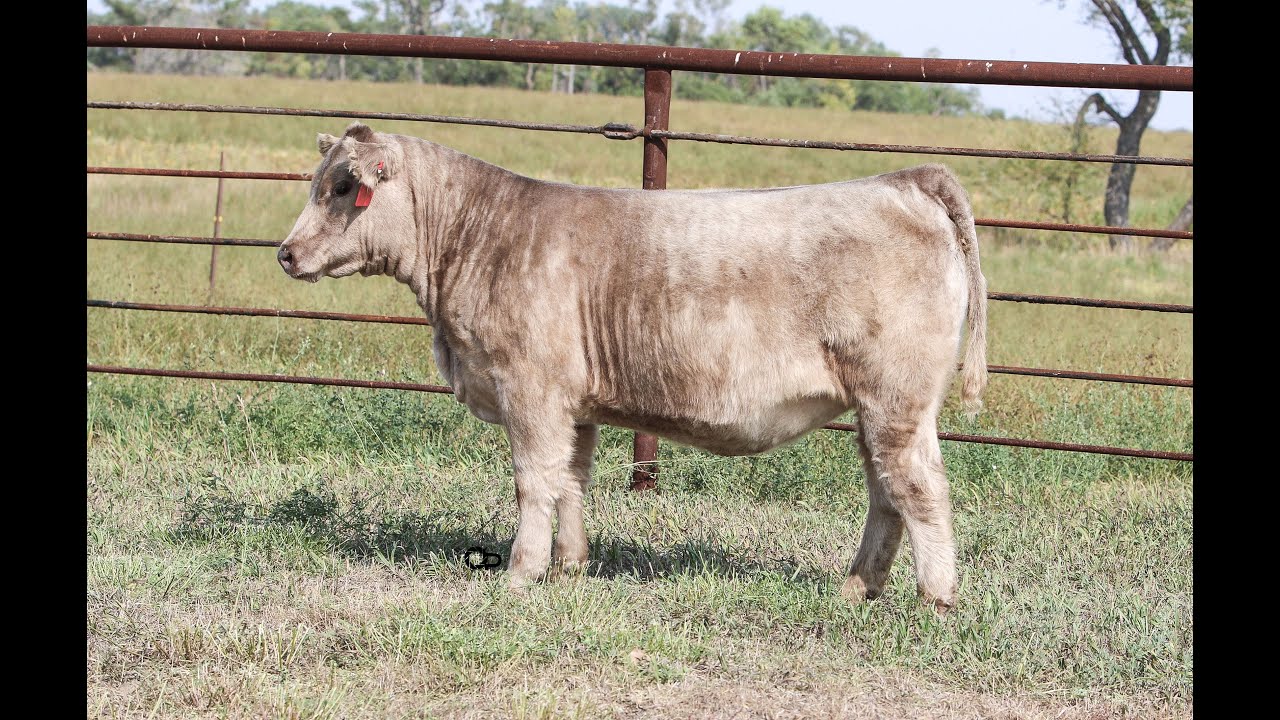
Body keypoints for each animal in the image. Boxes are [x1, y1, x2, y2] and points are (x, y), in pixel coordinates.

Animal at [277, 122, 988, 612]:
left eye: (343, 186)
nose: (285, 252)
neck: (475, 240)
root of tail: (904, 181)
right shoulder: (573, 402)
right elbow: (570, 479)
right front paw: (570, 566)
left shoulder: (529, 388)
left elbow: (533, 480)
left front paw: (521, 572)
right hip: (880, 410)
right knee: (886, 492)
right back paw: (856, 587)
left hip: (896, 401)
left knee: (919, 489)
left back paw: (935, 599)